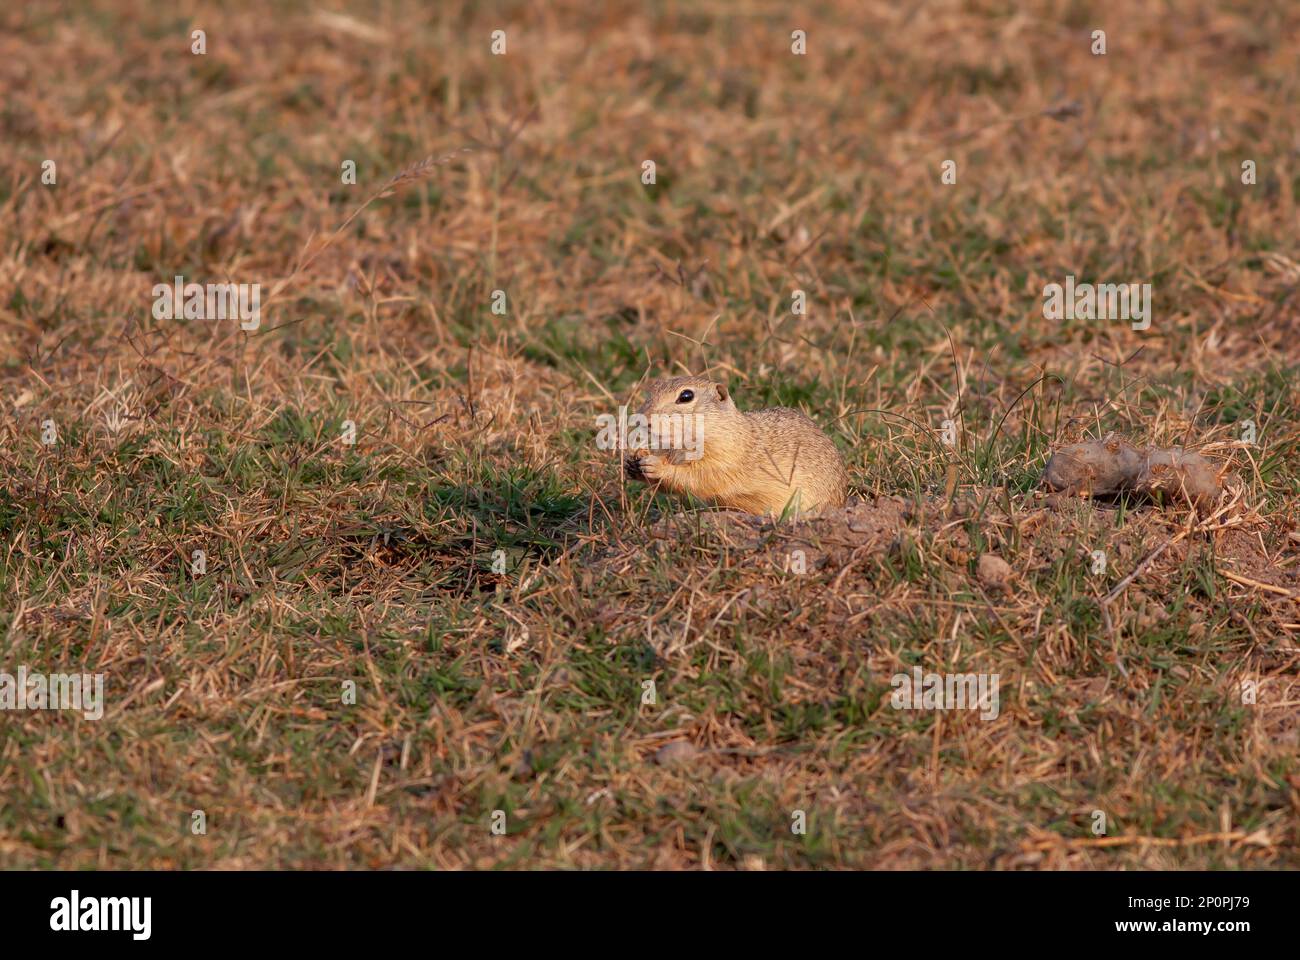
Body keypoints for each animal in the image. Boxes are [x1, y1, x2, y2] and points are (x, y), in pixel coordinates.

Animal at [622, 376, 848, 516]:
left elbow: (697, 479)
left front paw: (656, 466)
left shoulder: (724, 460)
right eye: (652, 389)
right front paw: (634, 461)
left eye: (686, 396)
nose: (642, 417)